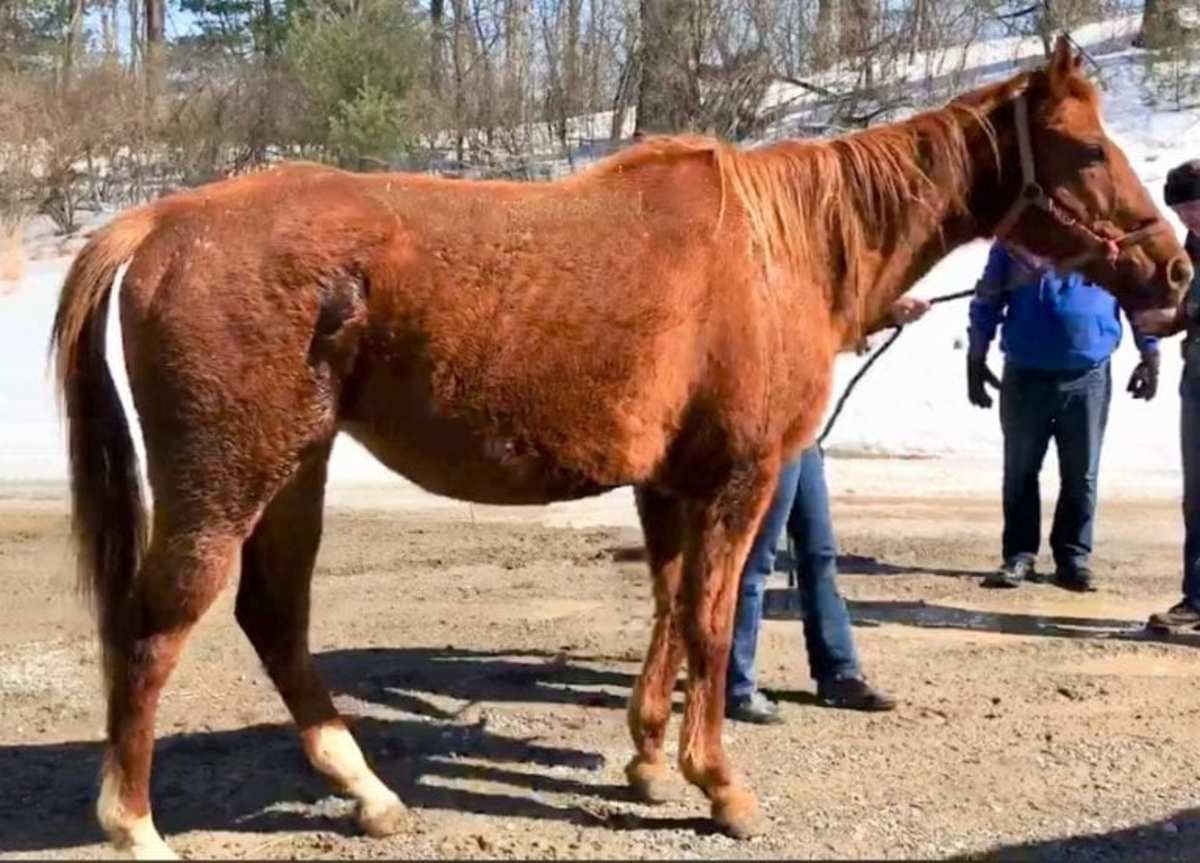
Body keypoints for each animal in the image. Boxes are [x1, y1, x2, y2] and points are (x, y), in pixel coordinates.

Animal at [50, 37, 1190, 858]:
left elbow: (669, 606)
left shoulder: (668, 482)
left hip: (297, 469)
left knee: (273, 618)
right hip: (230, 480)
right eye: (1090, 151)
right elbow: (713, 617)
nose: (1176, 273)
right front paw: (718, 784)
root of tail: (157, 225)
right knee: (160, 627)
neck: (776, 247)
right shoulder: (740, 479)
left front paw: (647, 759)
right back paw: (135, 826)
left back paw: (365, 789)